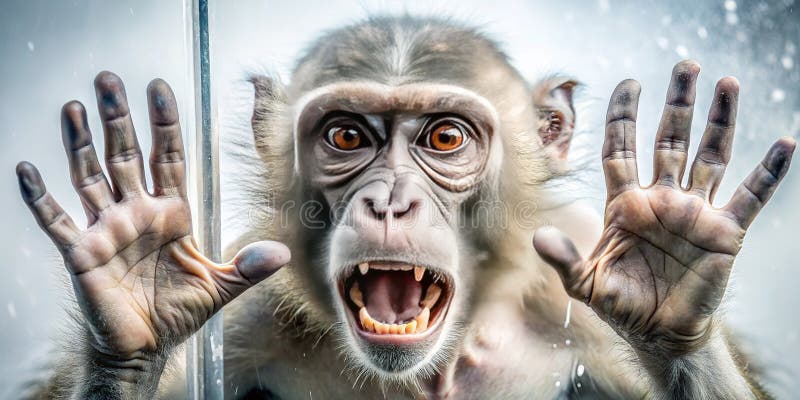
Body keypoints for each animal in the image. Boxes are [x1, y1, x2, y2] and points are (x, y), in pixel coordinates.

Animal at [15, 16, 795, 399]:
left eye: (444, 137)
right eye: (347, 136)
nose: (391, 201)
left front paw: (666, 263)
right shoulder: (243, 314)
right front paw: (137, 281)